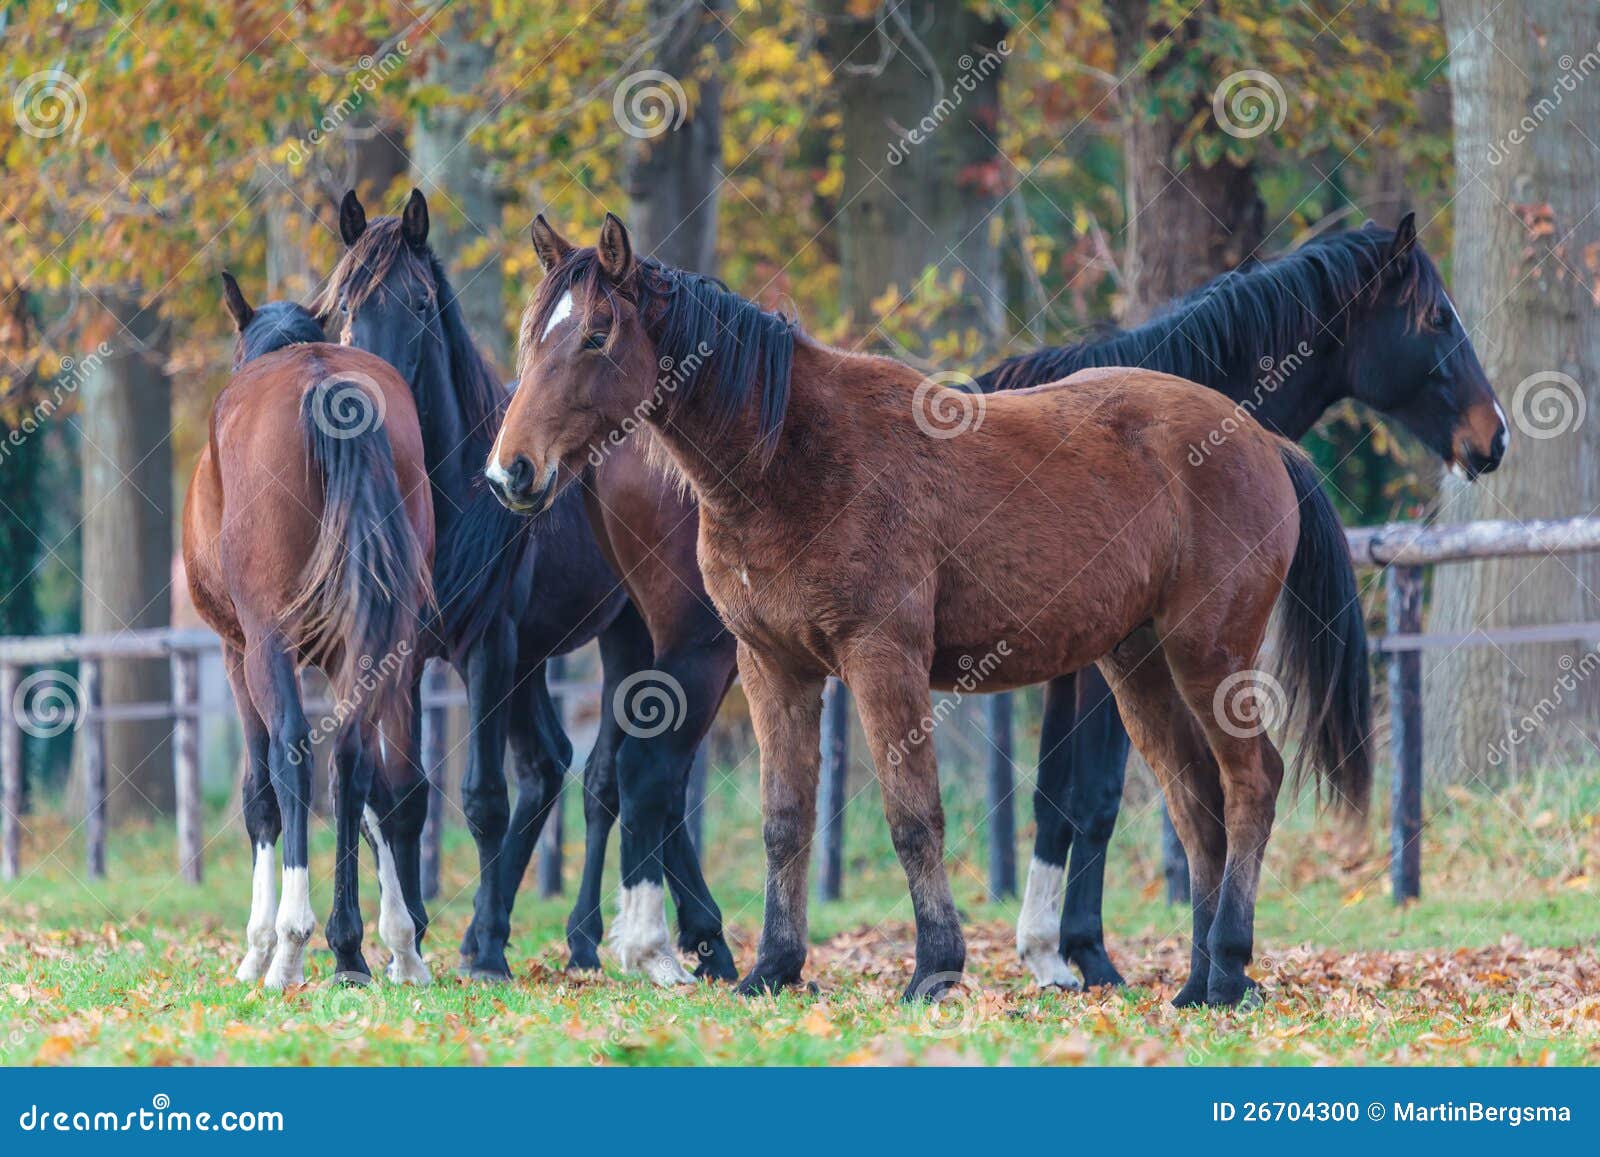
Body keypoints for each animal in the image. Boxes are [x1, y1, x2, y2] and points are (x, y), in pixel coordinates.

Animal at [183, 274, 434, 988]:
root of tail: (322, 375)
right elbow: (371, 793)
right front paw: (399, 944)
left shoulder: (237, 652)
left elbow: (261, 792)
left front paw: (259, 946)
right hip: (384, 641)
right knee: (354, 759)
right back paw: (350, 948)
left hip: (266, 645)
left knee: (294, 753)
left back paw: (291, 946)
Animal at [319, 191, 738, 984]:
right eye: (343, 308)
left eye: (419, 304)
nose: (367, 402)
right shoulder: (411, 655)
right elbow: (403, 793)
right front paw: (415, 939)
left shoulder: (490, 645)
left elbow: (483, 798)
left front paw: (480, 952)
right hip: (547, 656)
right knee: (559, 766)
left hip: (624, 637)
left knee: (608, 780)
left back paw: (598, 936)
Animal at [491, 214, 1374, 1008]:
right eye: (534, 336)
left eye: (596, 336)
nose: (512, 471)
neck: (790, 454)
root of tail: (1259, 441)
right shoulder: (773, 665)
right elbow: (786, 817)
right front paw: (773, 966)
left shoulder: (883, 658)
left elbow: (914, 815)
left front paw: (935, 967)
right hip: (1140, 664)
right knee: (1197, 802)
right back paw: (1202, 982)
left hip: (1207, 655)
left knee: (1251, 782)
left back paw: (1227, 966)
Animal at [974, 213, 1508, 990]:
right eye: (1438, 318)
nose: (1493, 434)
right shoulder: (1106, 661)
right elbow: (1092, 796)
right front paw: (1083, 953)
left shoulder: (1079, 666)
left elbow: (1055, 797)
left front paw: (1056, 950)